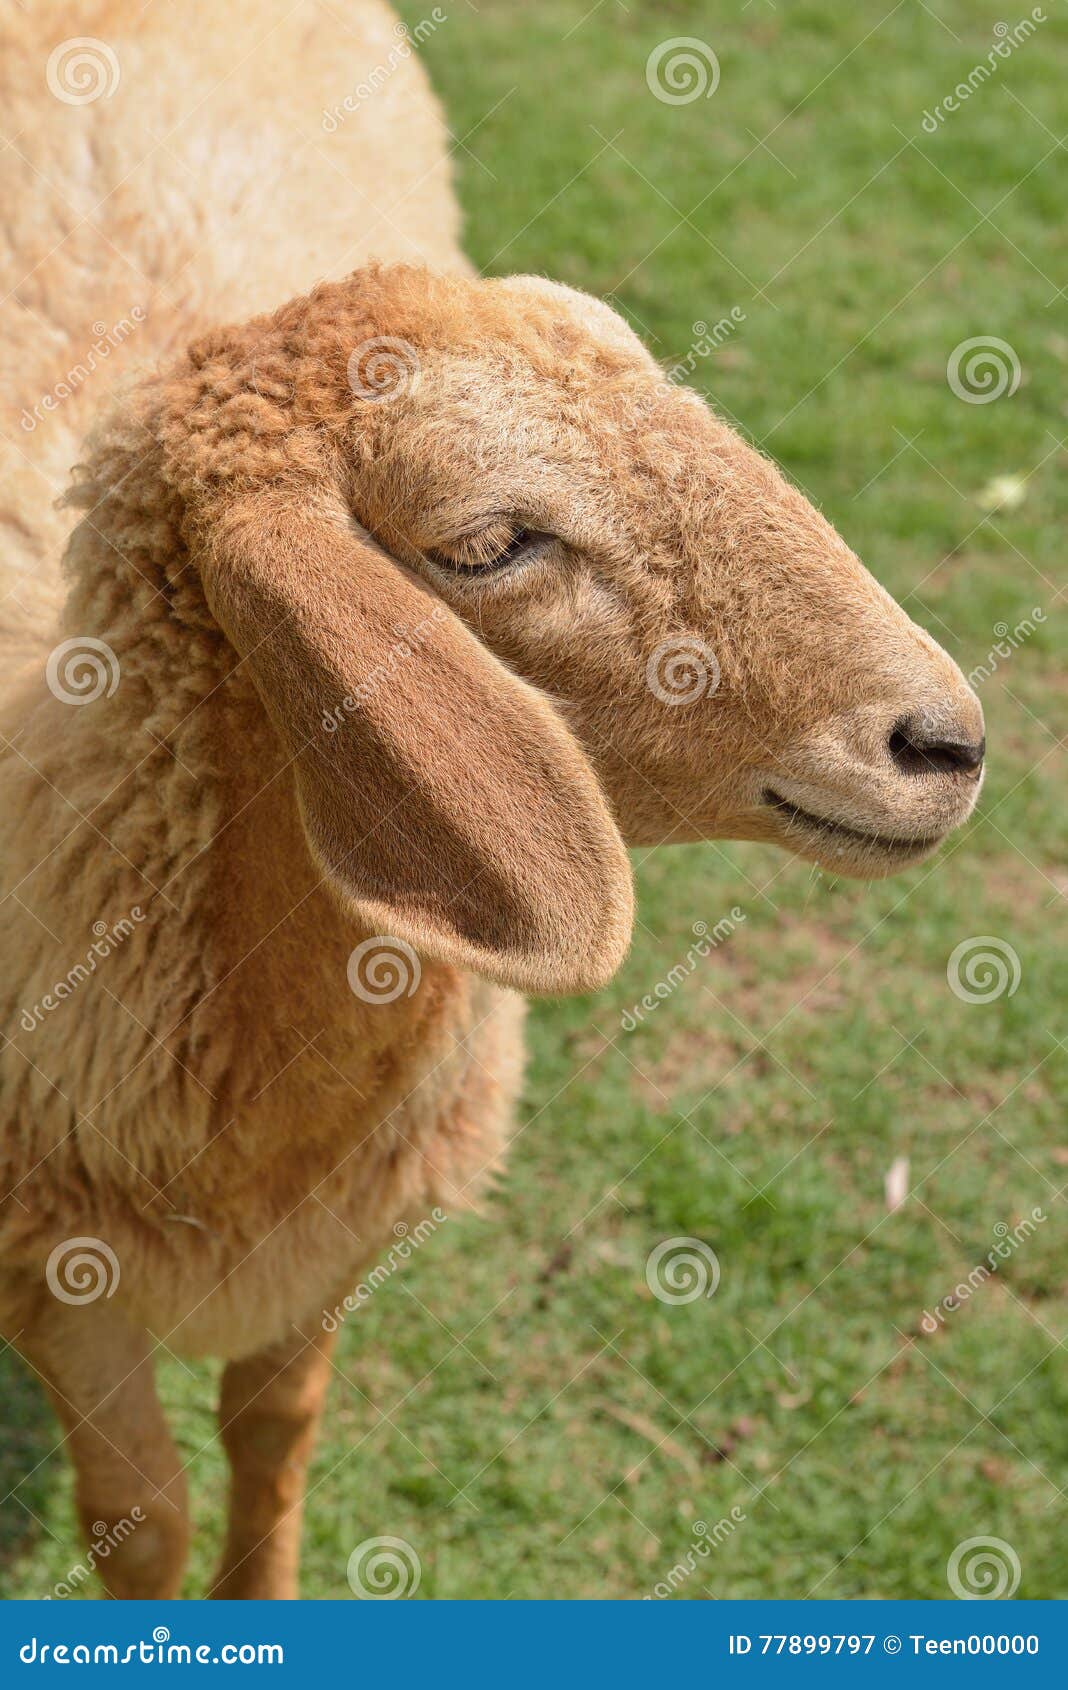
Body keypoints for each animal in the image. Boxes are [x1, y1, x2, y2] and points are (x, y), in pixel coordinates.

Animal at [0, 4, 985, 1600]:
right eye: (488, 542)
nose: (945, 742)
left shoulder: (345, 1229)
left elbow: (276, 1425)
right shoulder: (48, 1268)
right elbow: (141, 1517)